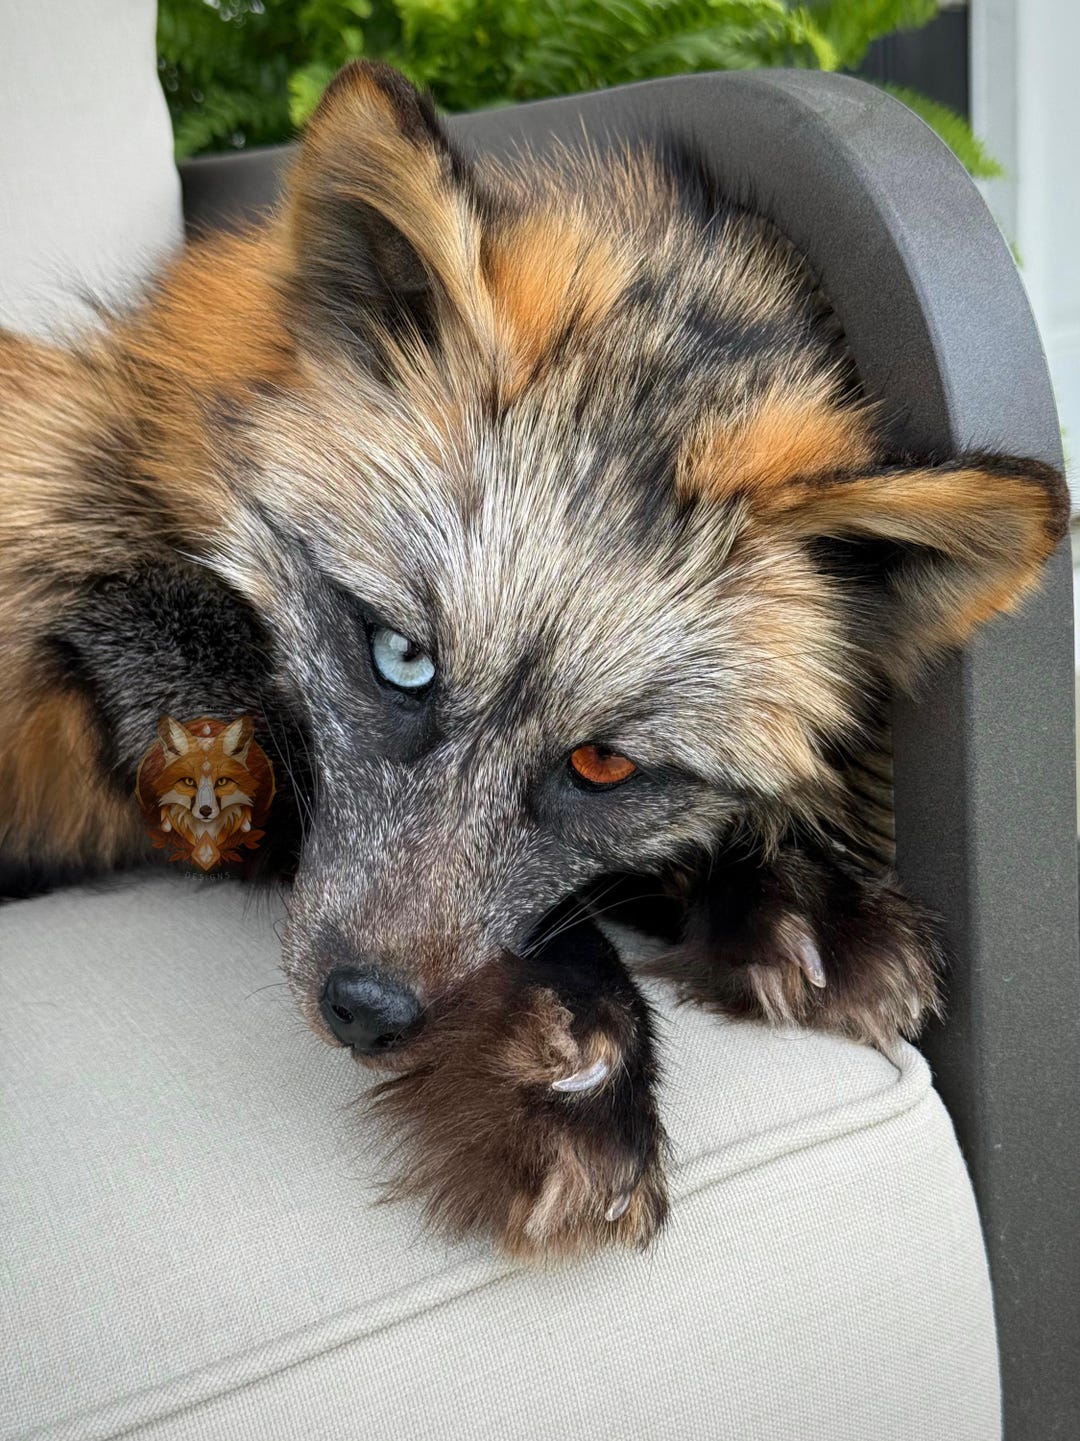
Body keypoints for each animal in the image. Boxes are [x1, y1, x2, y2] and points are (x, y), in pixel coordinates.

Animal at [0, 61, 1069, 1257]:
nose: (364, 1011)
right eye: (401, 658)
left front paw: (789, 900)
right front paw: (572, 1051)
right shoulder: (153, 688)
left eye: (604, 766)